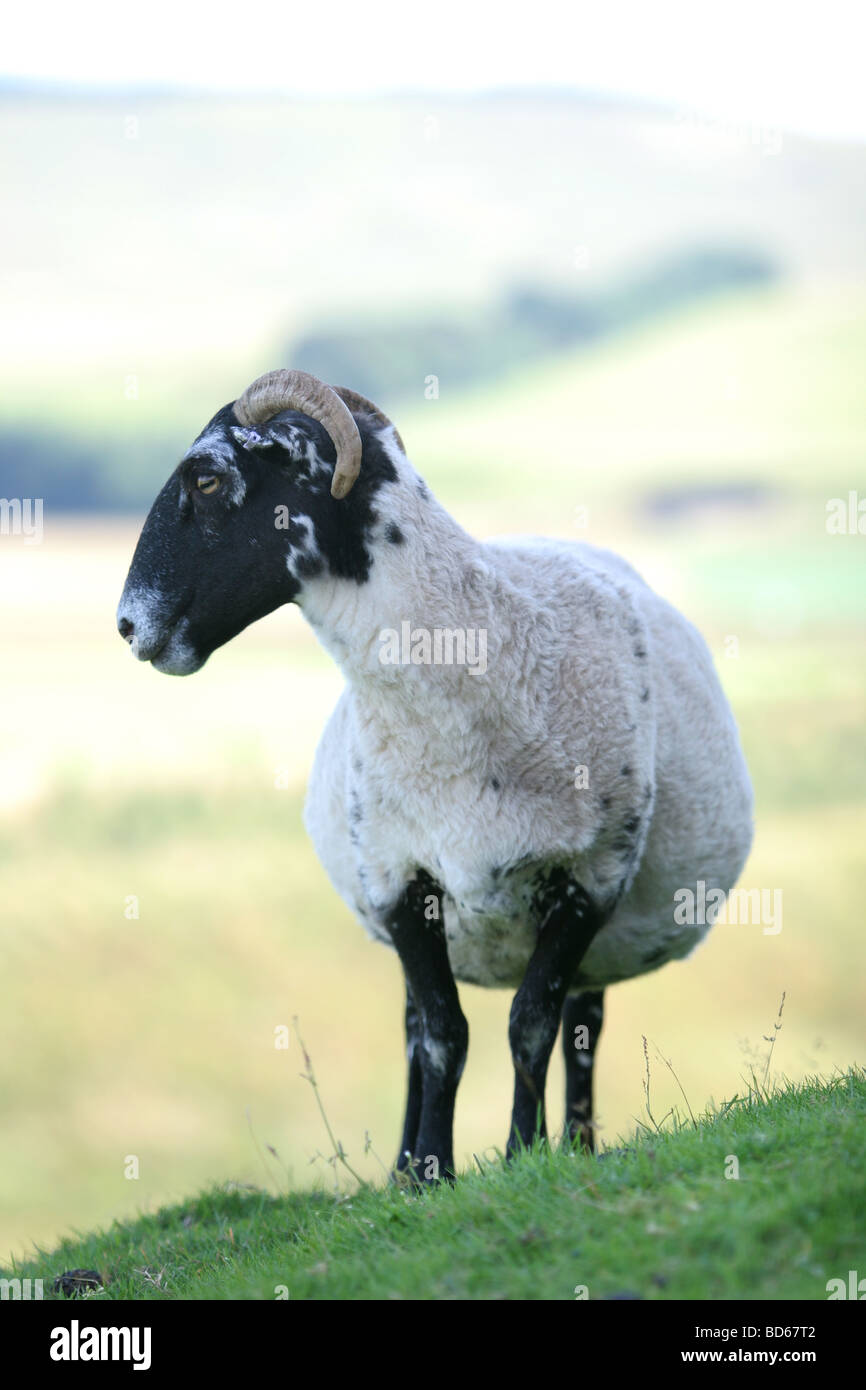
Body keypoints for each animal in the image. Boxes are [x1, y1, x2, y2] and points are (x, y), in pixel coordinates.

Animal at [117, 368, 754, 1180]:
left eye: (205, 476)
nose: (127, 625)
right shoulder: (398, 879)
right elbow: (442, 1036)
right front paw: (427, 1174)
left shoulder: (590, 879)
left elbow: (531, 1024)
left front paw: (523, 1155)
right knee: (417, 1027)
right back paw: (399, 1169)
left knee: (583, 1021)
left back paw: (578, 1145)